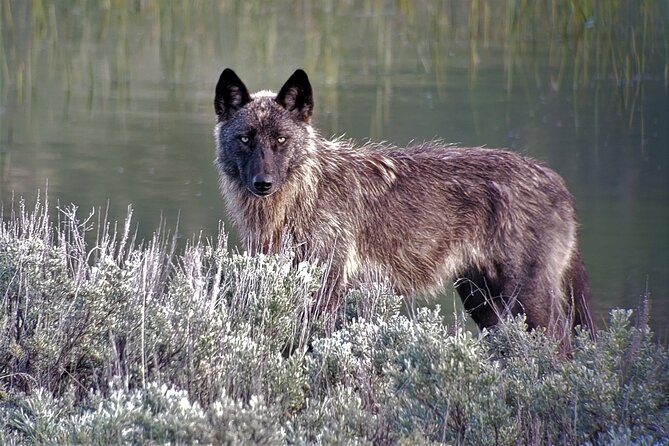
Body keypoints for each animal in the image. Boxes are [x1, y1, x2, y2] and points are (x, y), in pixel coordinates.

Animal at [213, 68, 595, 336]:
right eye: (245, 139)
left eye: (280, 140)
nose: (263, 184)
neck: (306, 194)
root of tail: (557, 181)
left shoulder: (327, 289)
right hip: (482, 302)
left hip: (526, 302)